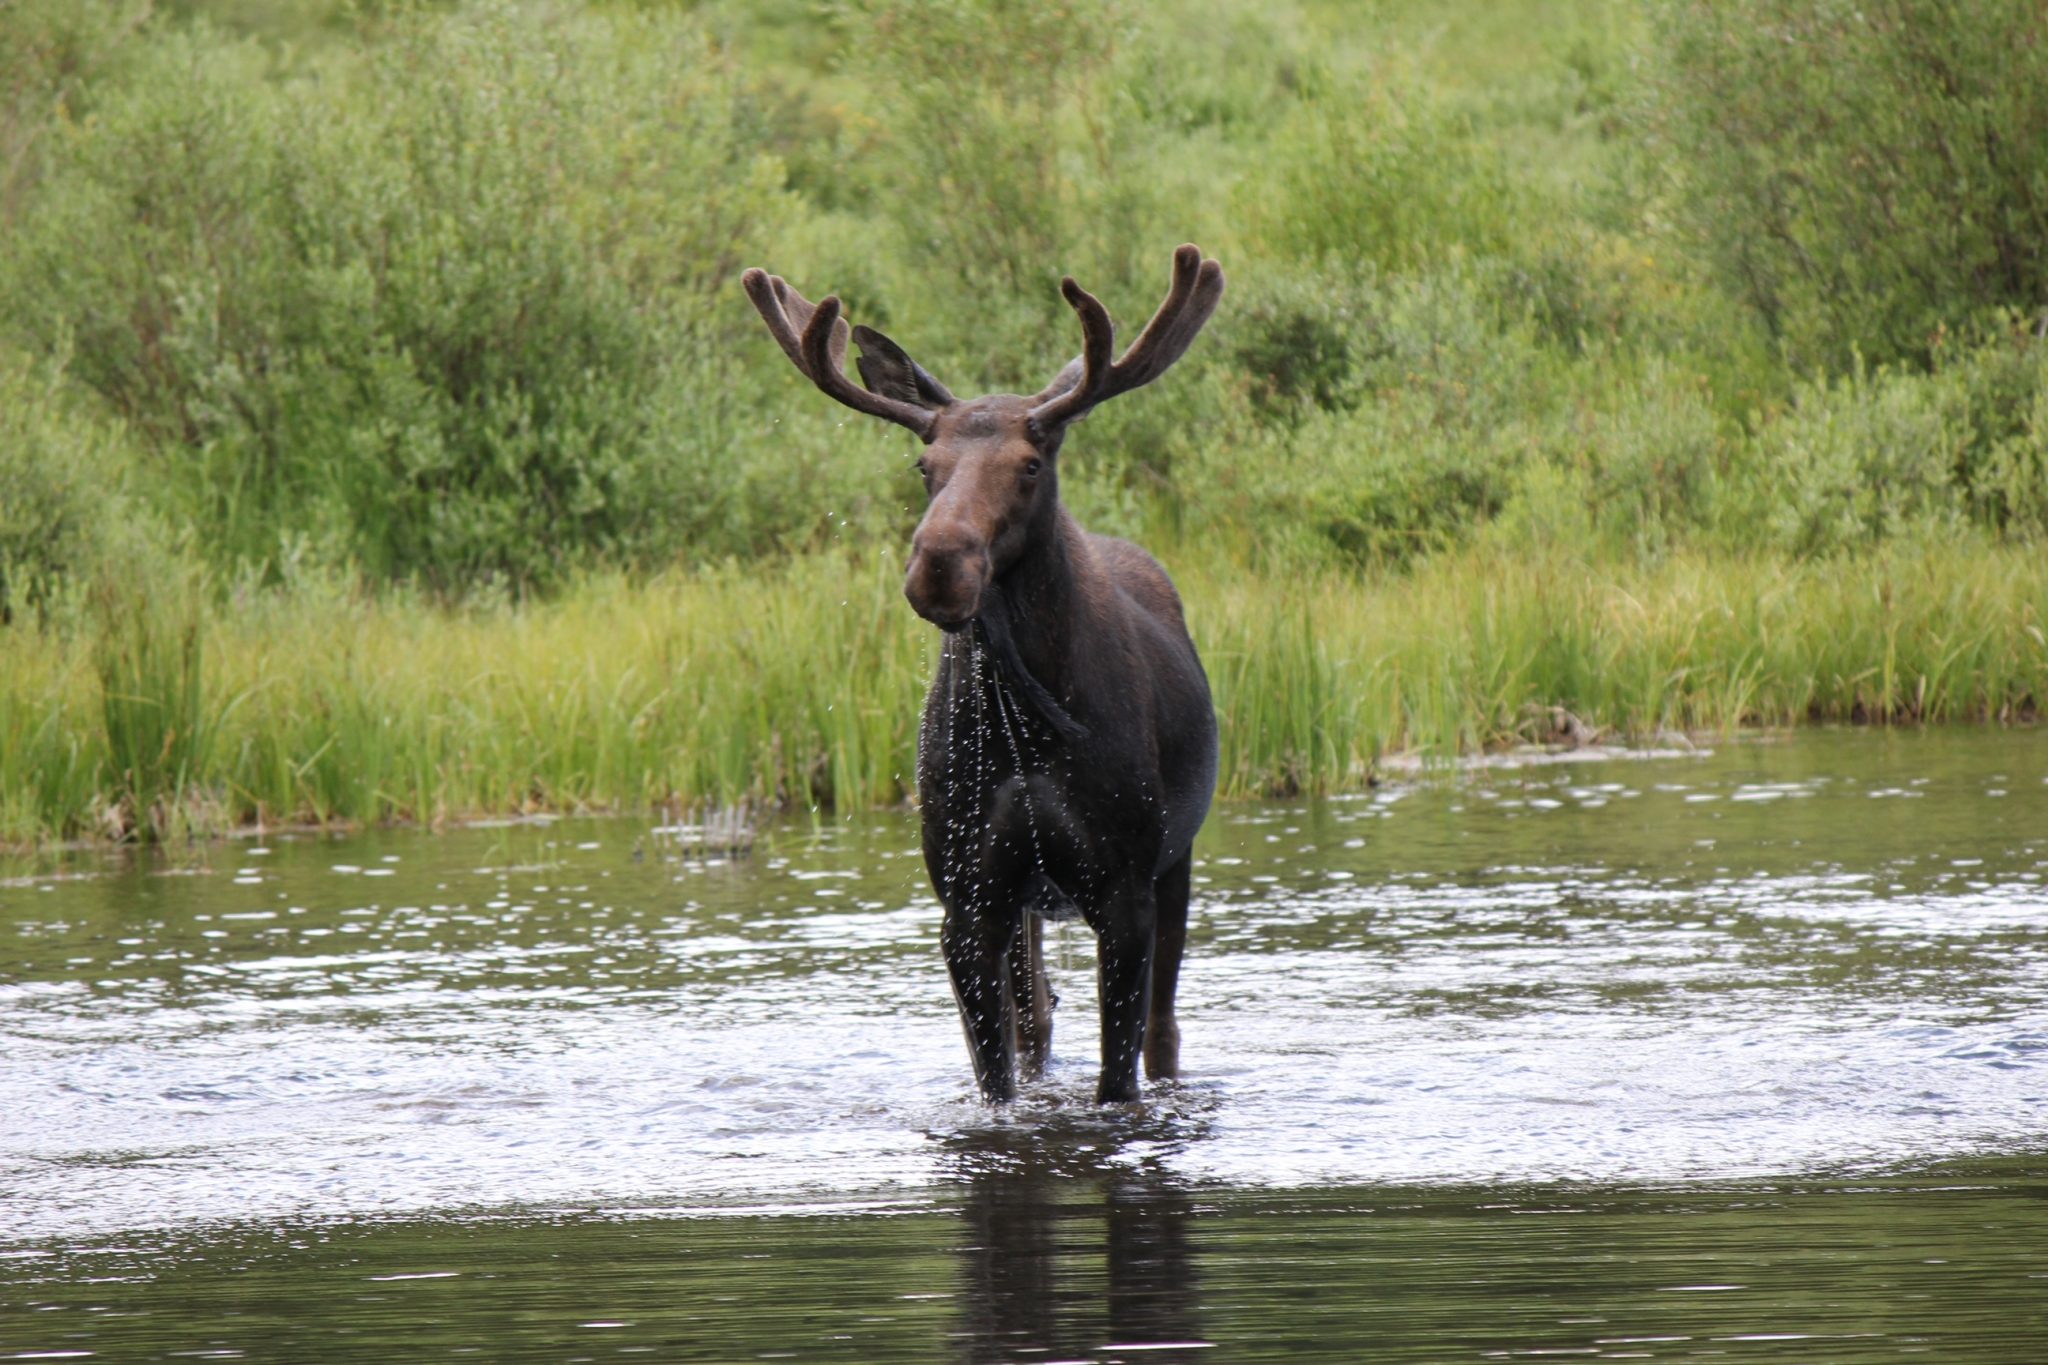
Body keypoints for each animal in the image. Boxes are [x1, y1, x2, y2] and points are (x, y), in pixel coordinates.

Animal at [741, 245, 1224, 1104]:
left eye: (1030, 463)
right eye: (923, 462)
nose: (940, 562)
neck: (1030, 723)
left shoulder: (1125, 884)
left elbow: (1117, 1078)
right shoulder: (969, 897)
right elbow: (996, 1077)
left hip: (1178, 858)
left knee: (1162, 1031)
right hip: (1031, 902)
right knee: (1038, 1020)